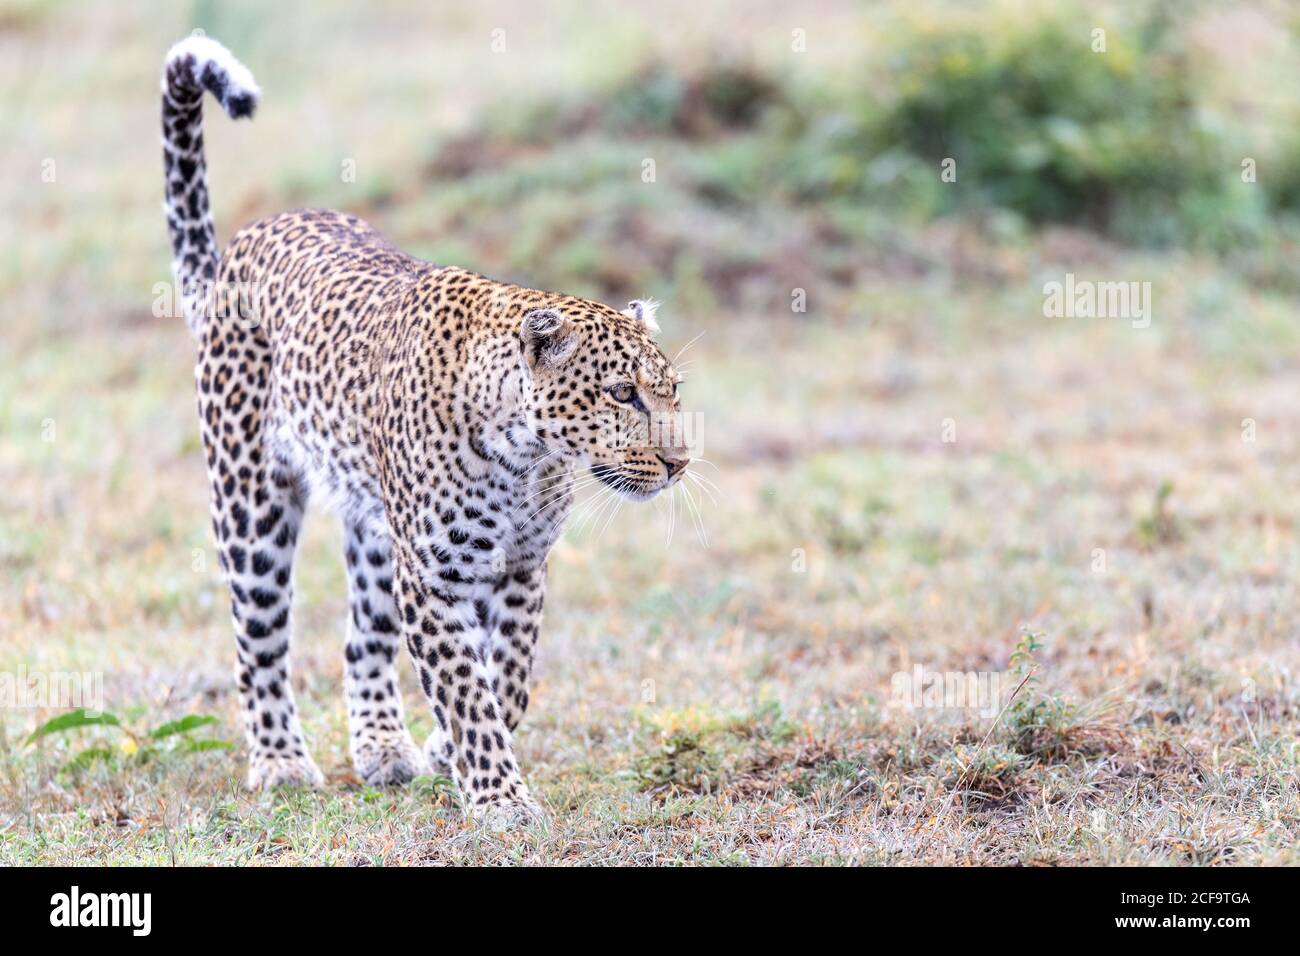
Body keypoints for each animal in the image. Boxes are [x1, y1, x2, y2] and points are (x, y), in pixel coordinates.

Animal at [160, 35, 691, 825]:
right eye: (623, 394)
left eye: (672, 392)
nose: (678, 463)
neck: (525, 457)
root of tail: (242, 247)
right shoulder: (434, 575)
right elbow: (468, 691)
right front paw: (500, 799)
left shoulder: (520, 567)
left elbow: (509, 675)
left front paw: (448, 752)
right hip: (251, 502)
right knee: (258, 640)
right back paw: (281, 761)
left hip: (375, 531)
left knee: (360, 642)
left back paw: (385, 749)